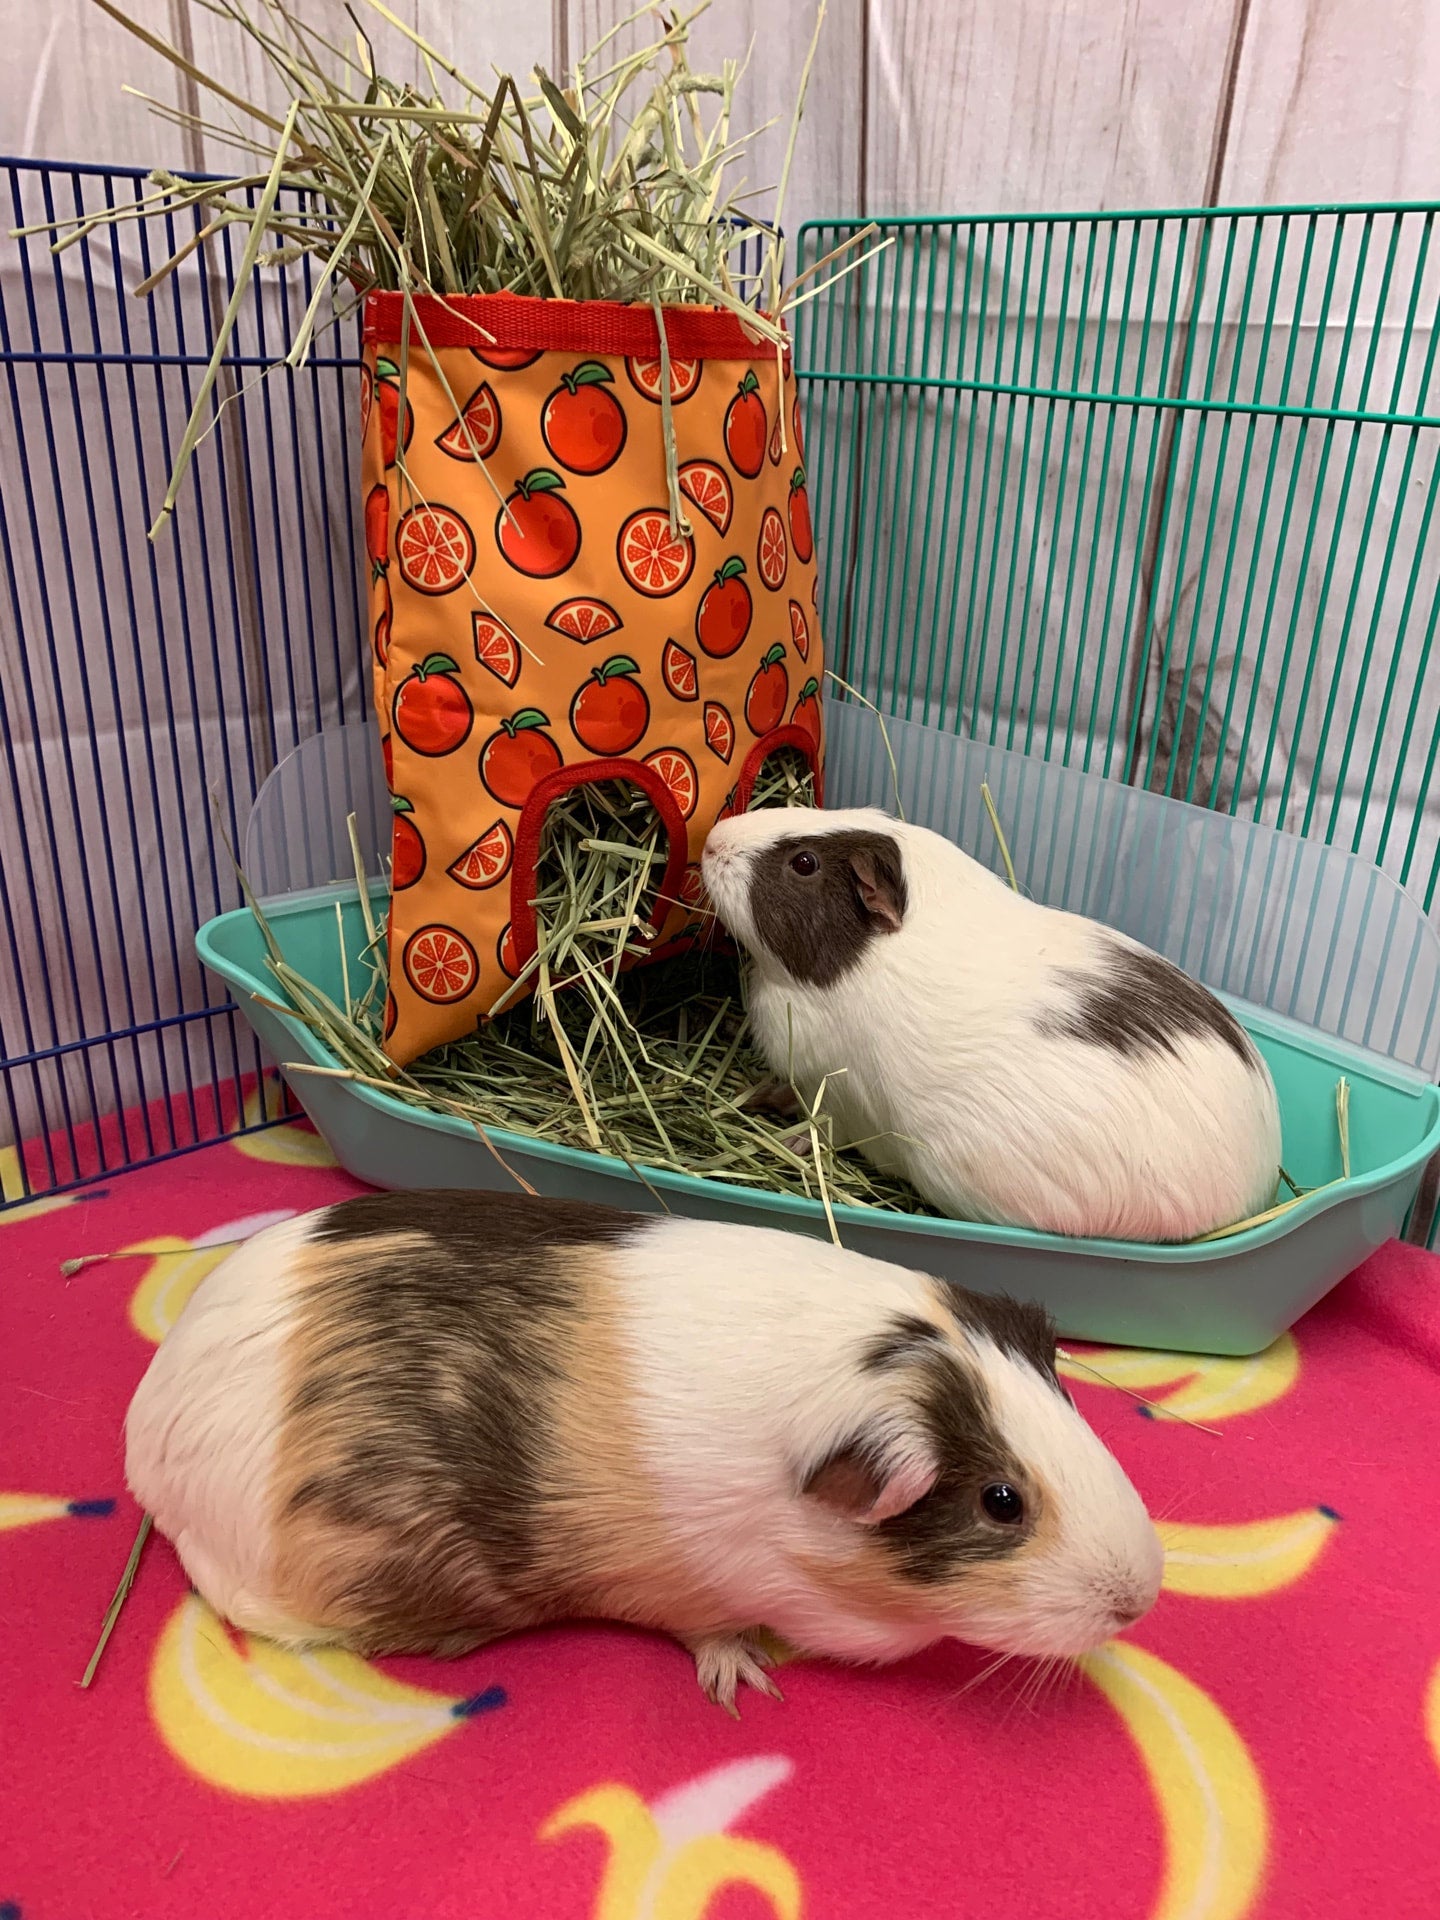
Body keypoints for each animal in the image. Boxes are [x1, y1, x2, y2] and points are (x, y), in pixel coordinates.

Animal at [125, 1190, 1163, 1713]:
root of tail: (149, 1436)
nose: (1142, 1596)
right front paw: (747, 1684)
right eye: (1000, 1500)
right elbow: (709, 1634)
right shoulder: (692, 1589)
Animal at [702, 805, 1282, 1241]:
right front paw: (760, 1095)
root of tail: (1265, 1177)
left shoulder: (842, 1101)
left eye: (804, 862)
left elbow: (820, 1128)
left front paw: (792, 1137)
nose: (712, 839)